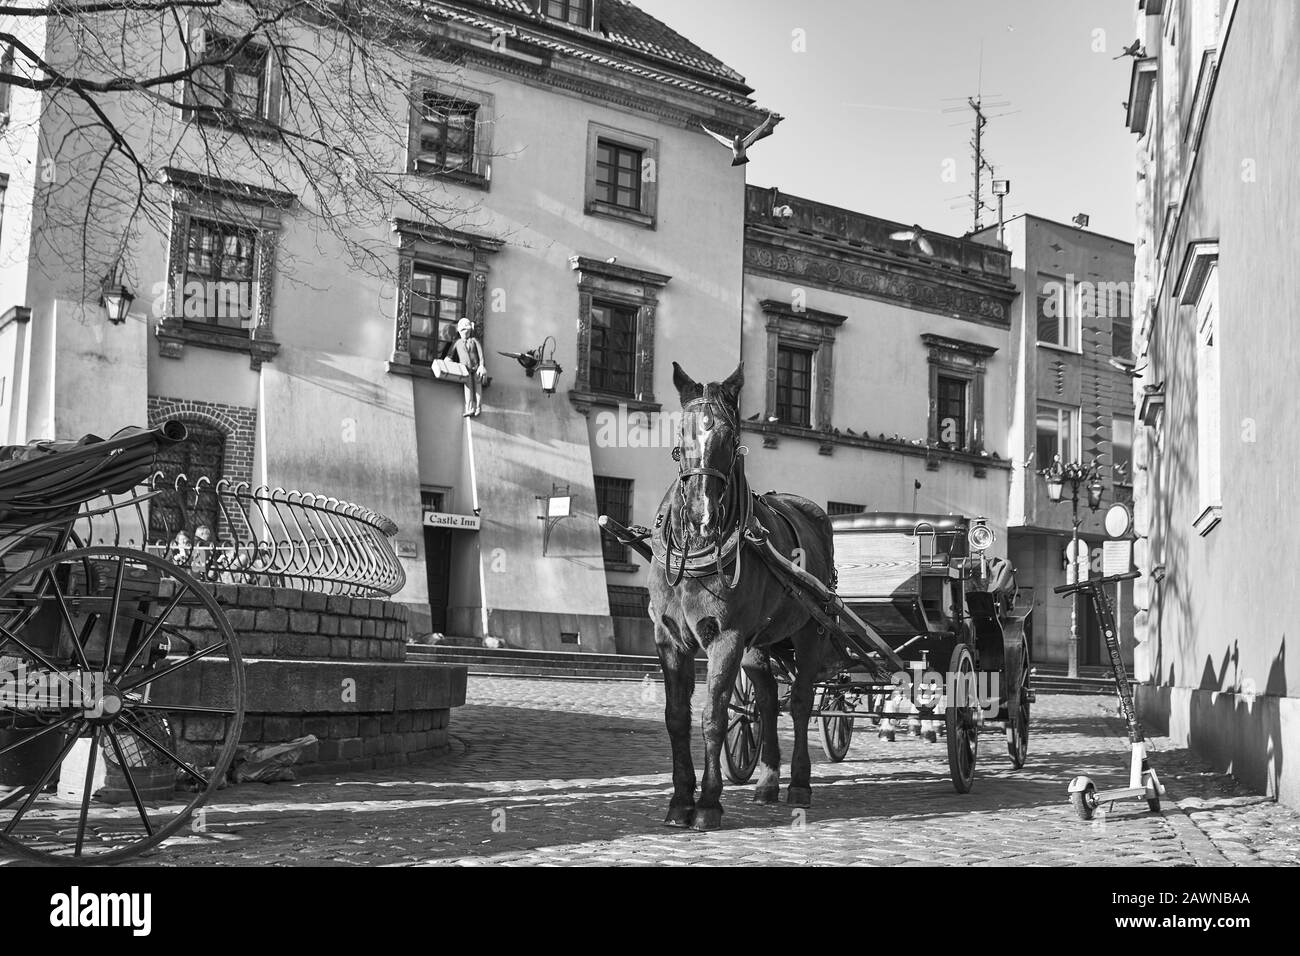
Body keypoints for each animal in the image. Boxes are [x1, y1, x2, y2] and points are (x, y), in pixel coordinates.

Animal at [647, 360, 837, 831]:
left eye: (731, 437)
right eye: (681, 433)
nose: (702, 515)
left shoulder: (727, 637)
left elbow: (713, 717)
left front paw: (709, 803)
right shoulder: (669, 639)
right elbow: (676, 718)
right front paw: (680, 800)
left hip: (810, 632)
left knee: (801, 703)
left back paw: (798, 783)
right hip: (759, 644)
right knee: (767, 702)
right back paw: (767, 780)